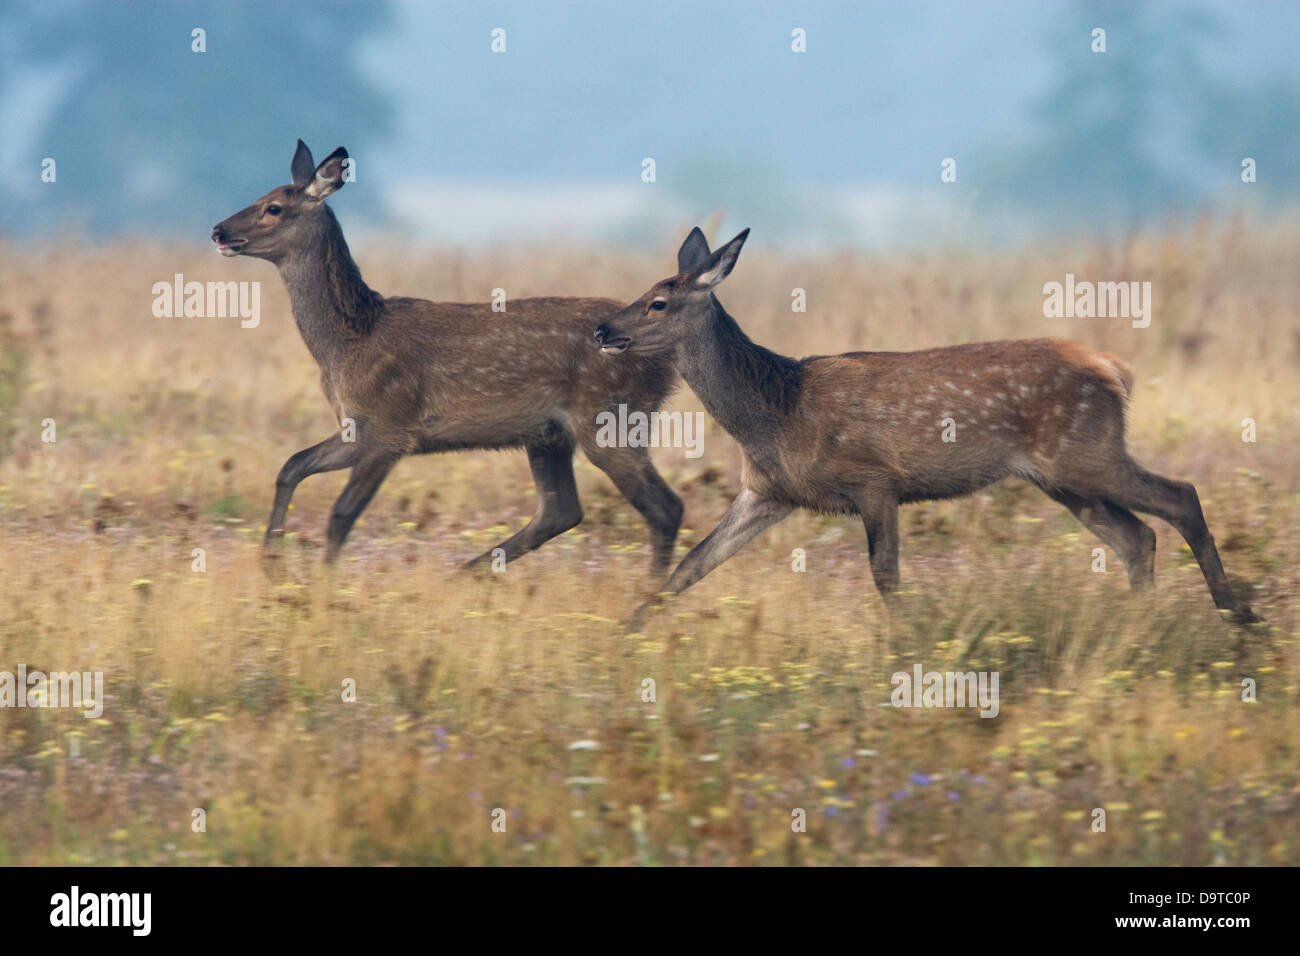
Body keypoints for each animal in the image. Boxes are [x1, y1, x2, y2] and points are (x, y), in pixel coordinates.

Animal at [211, 140, 683, 570]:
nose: (218, 230)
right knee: (561, 510)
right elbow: (291, 465)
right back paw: (466, 574)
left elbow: (341, 514)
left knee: (665, 508)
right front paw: (271, 562)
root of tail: (667, 362)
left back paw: (649, 600)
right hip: (549, 434)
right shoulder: (356, 427)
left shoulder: (391, 425)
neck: (347, 342)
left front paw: (320, 588)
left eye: (273, 207)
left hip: (610, 415)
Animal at [594, 227, 1262, 627]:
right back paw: (1140, 623)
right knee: (1136, 536)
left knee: (1180, 497)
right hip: (1063, 477)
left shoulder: (874, 479)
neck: (777, 414)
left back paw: (1238, 618)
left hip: (1086, 450)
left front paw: (906, 646)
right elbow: (690, 567)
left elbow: (886, 576)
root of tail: (1114, 370)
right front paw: (628, 636)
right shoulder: (768, 492)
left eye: (658, 302)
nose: (603, 330)